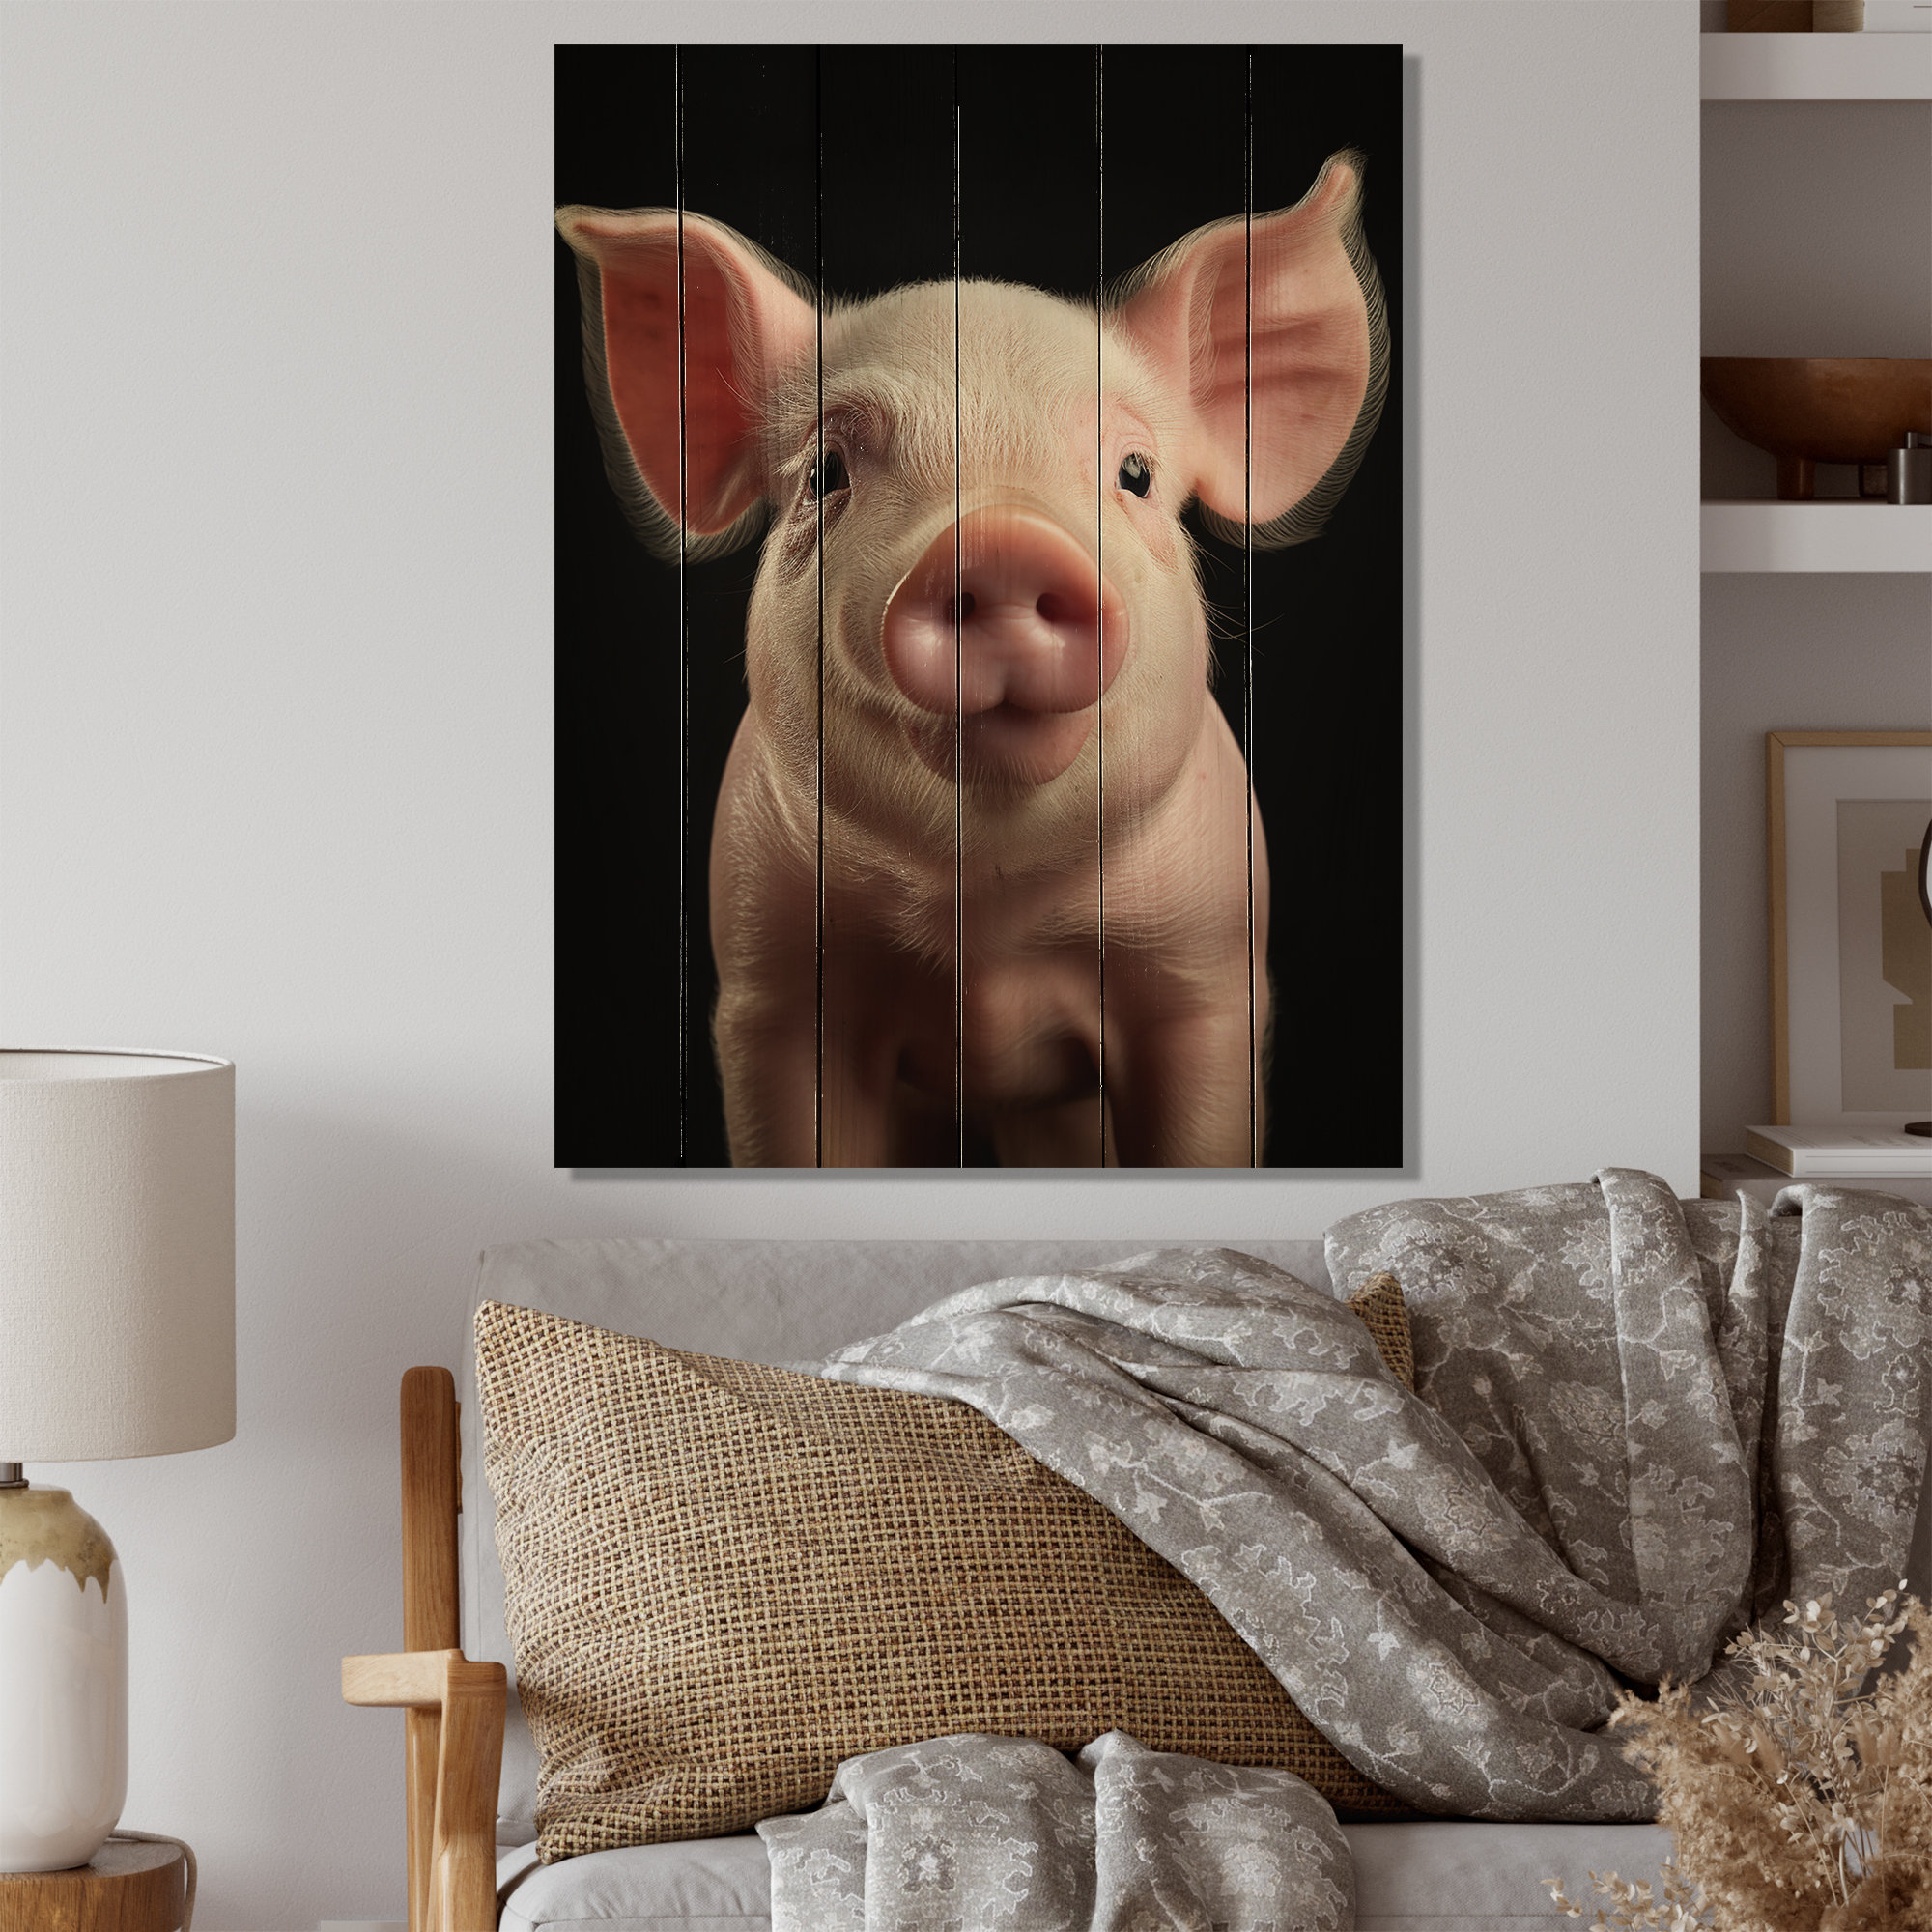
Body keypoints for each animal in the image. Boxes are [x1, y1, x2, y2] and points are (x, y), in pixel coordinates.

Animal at [558, 152, 1386, 1166]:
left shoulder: (1209, 973)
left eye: (1137, 473)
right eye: (825, 472)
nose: (1001, 541)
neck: (985, 934)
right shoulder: (768, 983)